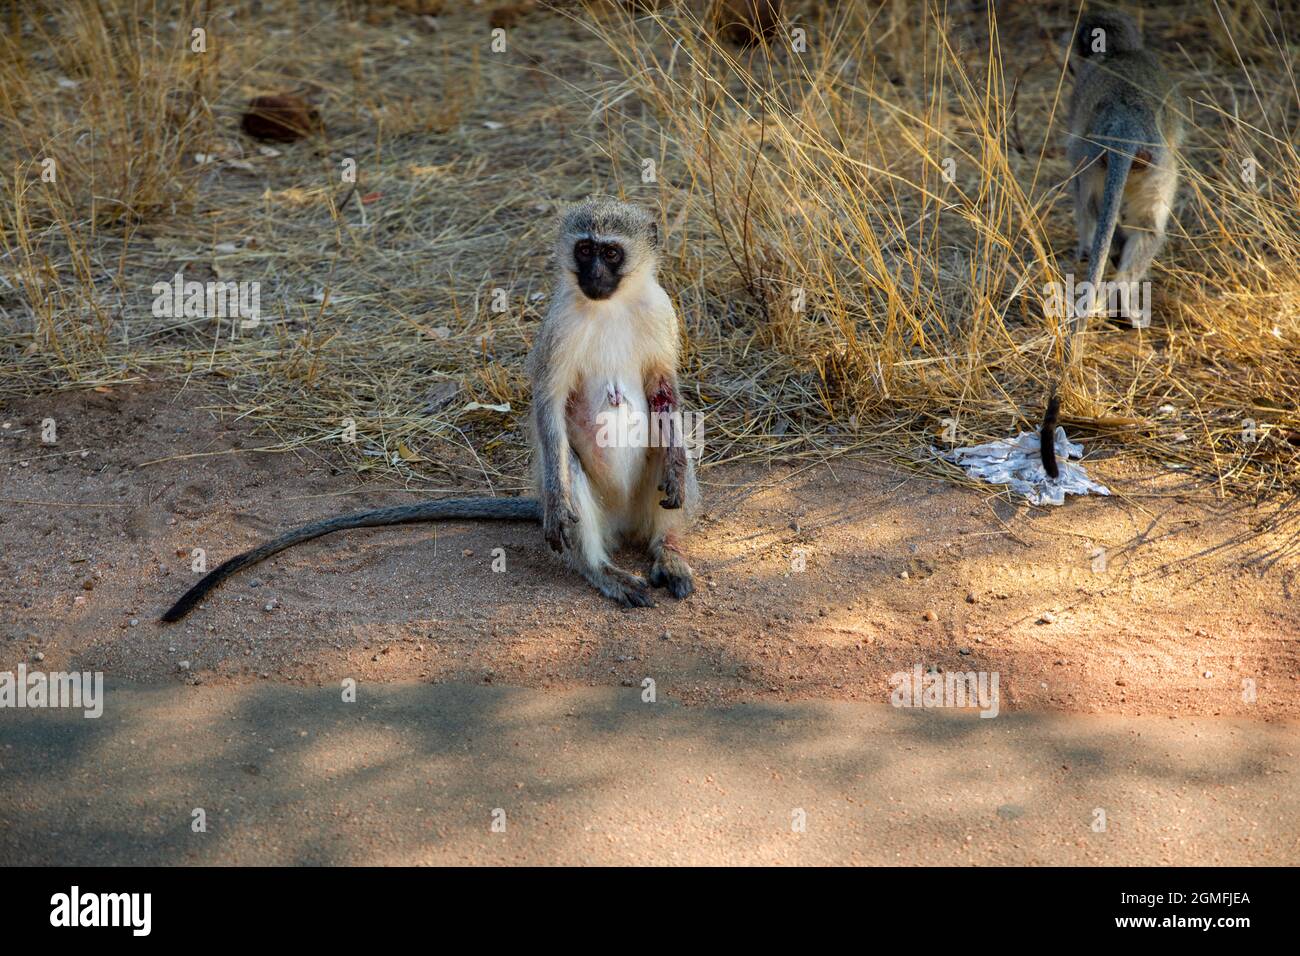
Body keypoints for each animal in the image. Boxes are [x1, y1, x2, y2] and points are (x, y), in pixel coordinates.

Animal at [161, 198, 696, 622]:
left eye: (611, 253)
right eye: (585, 250)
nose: (594, 276)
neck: (611, 305)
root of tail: (622, 524)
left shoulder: (660, 311)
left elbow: (665, 390)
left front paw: (672, 460)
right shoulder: (559, 327)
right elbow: (547, 404)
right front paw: (562, 504)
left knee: (672, 460)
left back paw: (667, 550)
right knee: (567, 470)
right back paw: (601, 570)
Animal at [1039, 9, 1184, 479]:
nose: (1073, 61)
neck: (1121, 53)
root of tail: (1125, 128)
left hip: (1117, 160)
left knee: (1091, 197)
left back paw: (1098, 263)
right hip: (1156, 167)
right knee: (1147, 228)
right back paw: (1121, 295)